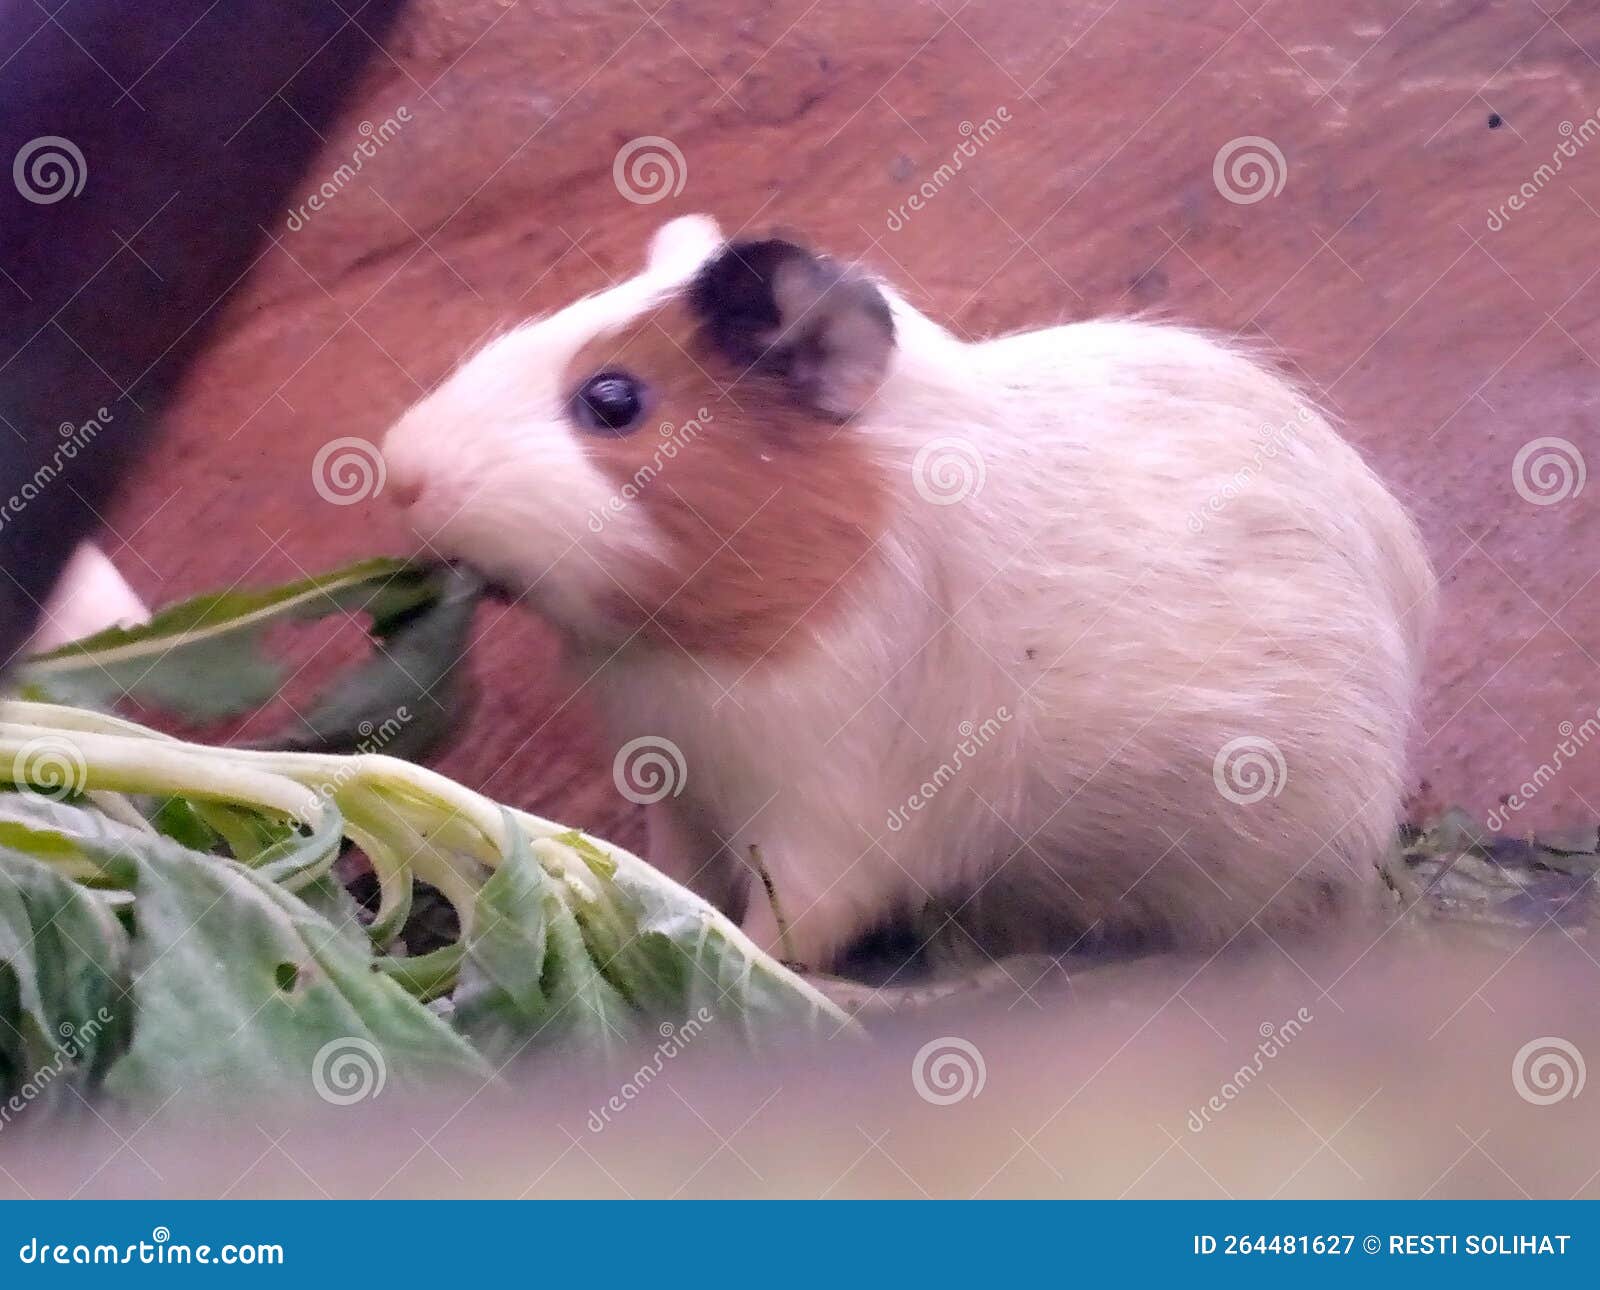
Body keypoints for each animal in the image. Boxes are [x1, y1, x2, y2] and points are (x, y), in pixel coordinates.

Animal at [381, 213, 1435, 971]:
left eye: (612, 400)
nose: (400, 471)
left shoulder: (821, 817)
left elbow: (786, 929)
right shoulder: (682, 799)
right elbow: (676, 877)